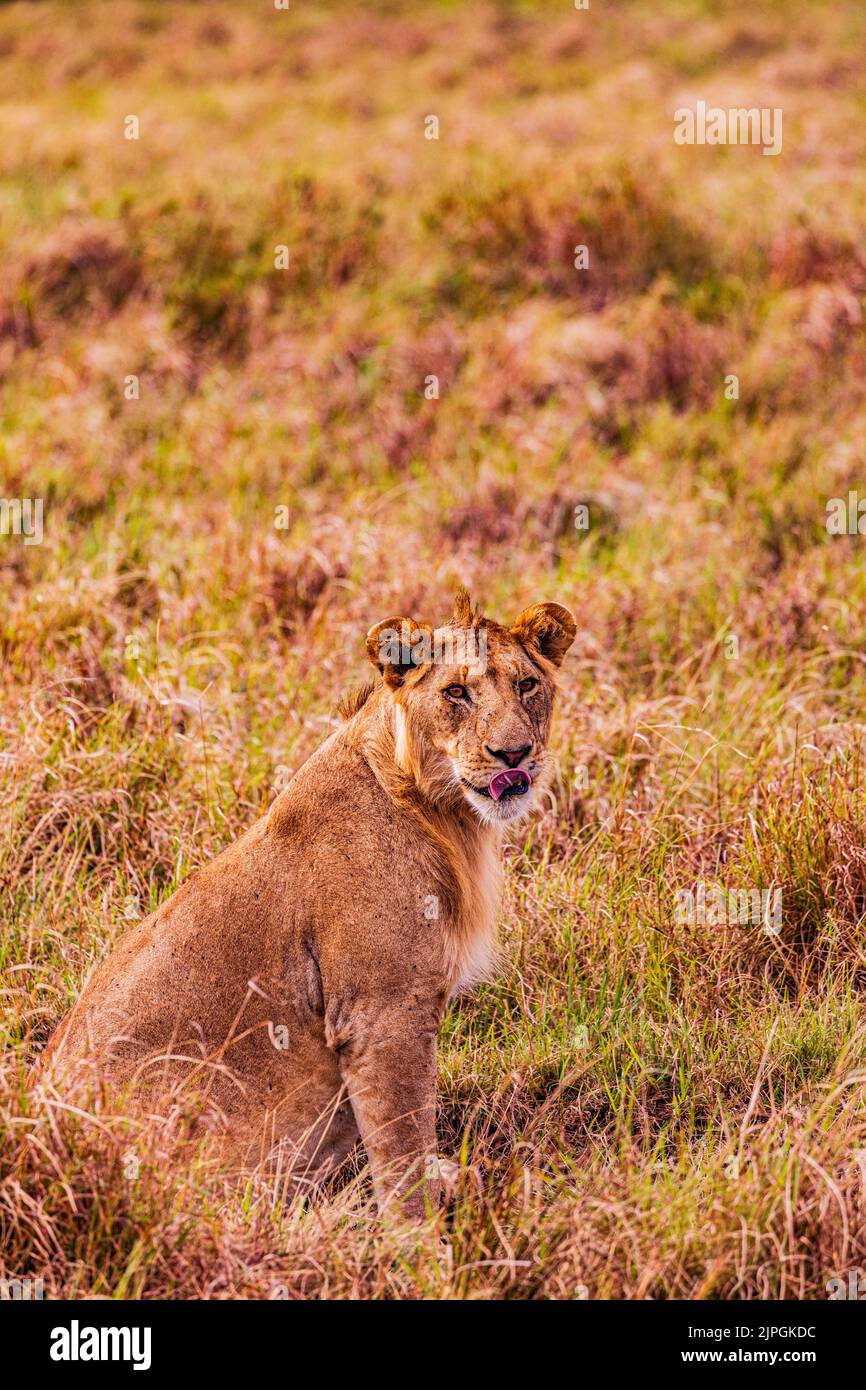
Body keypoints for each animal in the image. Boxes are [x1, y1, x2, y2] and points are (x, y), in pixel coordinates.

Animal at [41, 589, 576, 1218]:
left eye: (527, 685)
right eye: (456, 693)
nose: (514, 754)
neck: (444, 817)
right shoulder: (382, 1014)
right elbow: (402, 1150)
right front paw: (422, 1239)